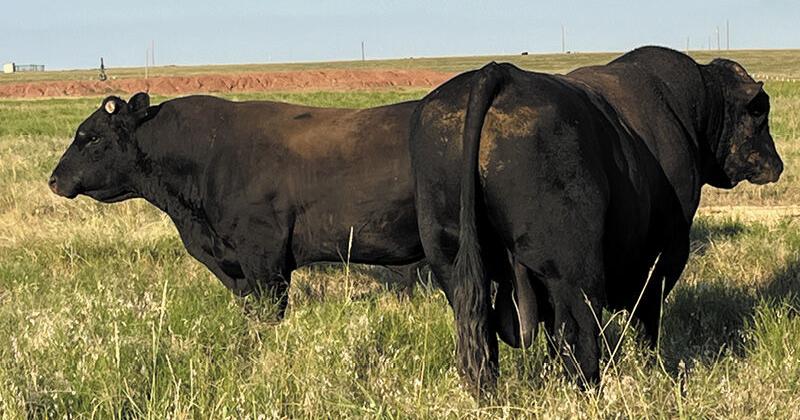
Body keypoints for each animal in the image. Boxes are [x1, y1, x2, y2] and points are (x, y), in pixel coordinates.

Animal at [408, 46, 783, 393]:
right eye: (759, 112)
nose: (776, 164)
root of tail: (500, 73)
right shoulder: (665, 253)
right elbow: (646, 314)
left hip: (450, 261)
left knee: (482, 333)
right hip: (575, 269)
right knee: (577, 330)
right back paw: (589, 386)